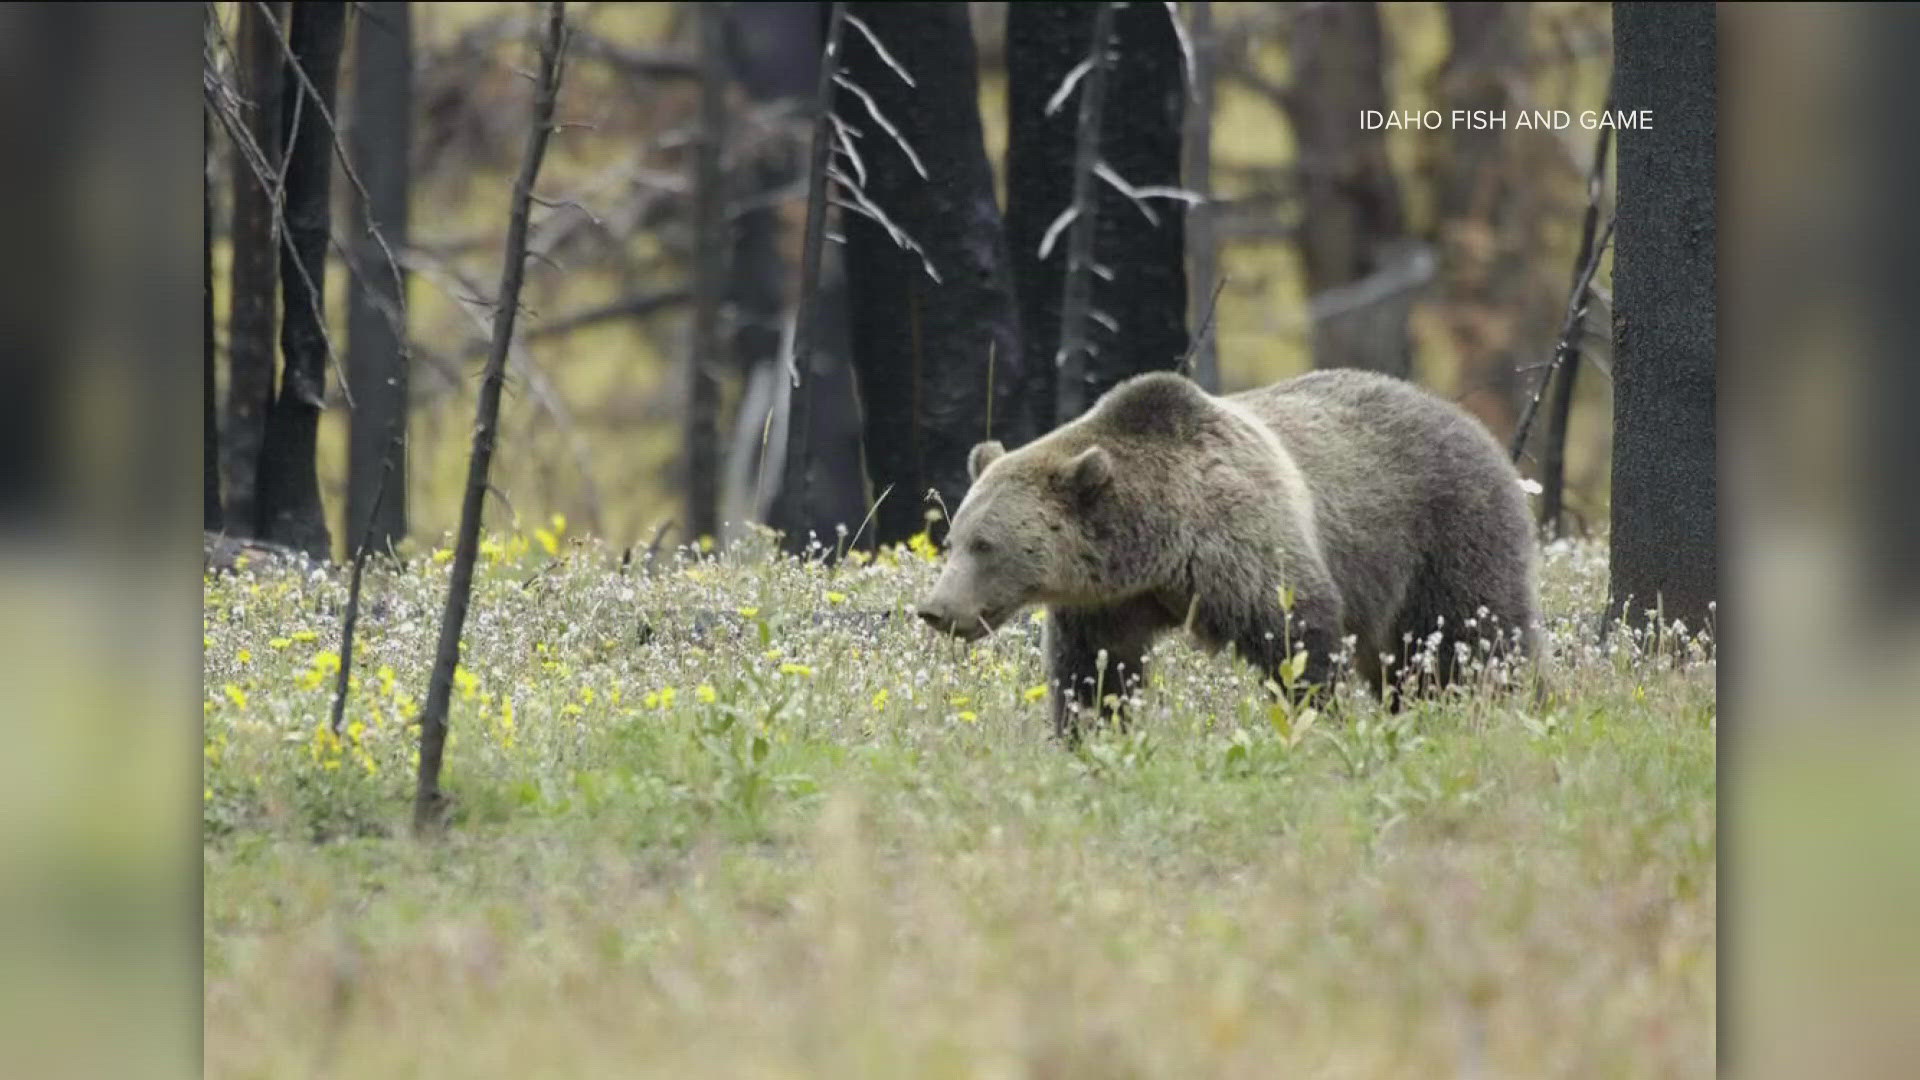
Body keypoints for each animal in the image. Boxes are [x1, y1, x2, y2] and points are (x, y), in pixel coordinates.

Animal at [914, 368, 1542, 739]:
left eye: (986, 545)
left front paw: (1317, 720)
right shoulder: (1110, 602)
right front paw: (1090, 734)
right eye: (954, 539)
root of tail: (1472, 423)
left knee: (1472, 638)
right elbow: (1095, 671)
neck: (1158, 545)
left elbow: (1297, 636)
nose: (936, 610)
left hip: (1445, 531)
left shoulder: (1242, 546)